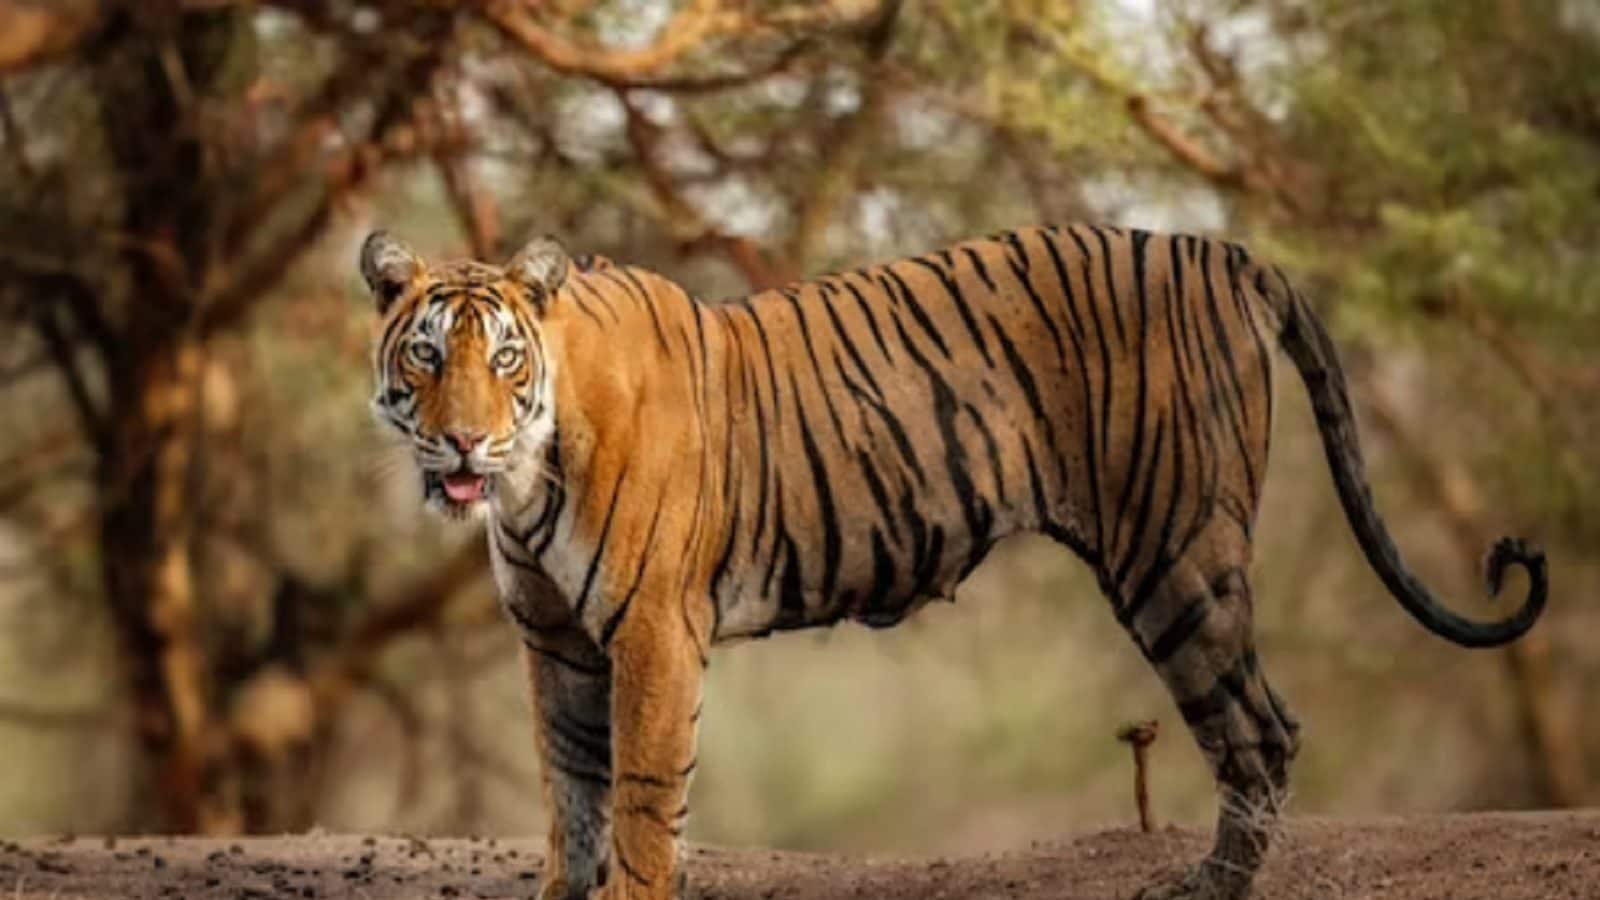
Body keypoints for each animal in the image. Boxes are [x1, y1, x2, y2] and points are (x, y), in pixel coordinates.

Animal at [360, 224, 1547, 900]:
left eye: (503, 361)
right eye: (426, 357)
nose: (462, 443)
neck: (526, 480)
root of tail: (1224, 252)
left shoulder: (652, 631)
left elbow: (641, 804)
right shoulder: (556, 643)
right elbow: (573, 799)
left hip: (1175, 554)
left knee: (1259, 731)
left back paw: (1206, 888)